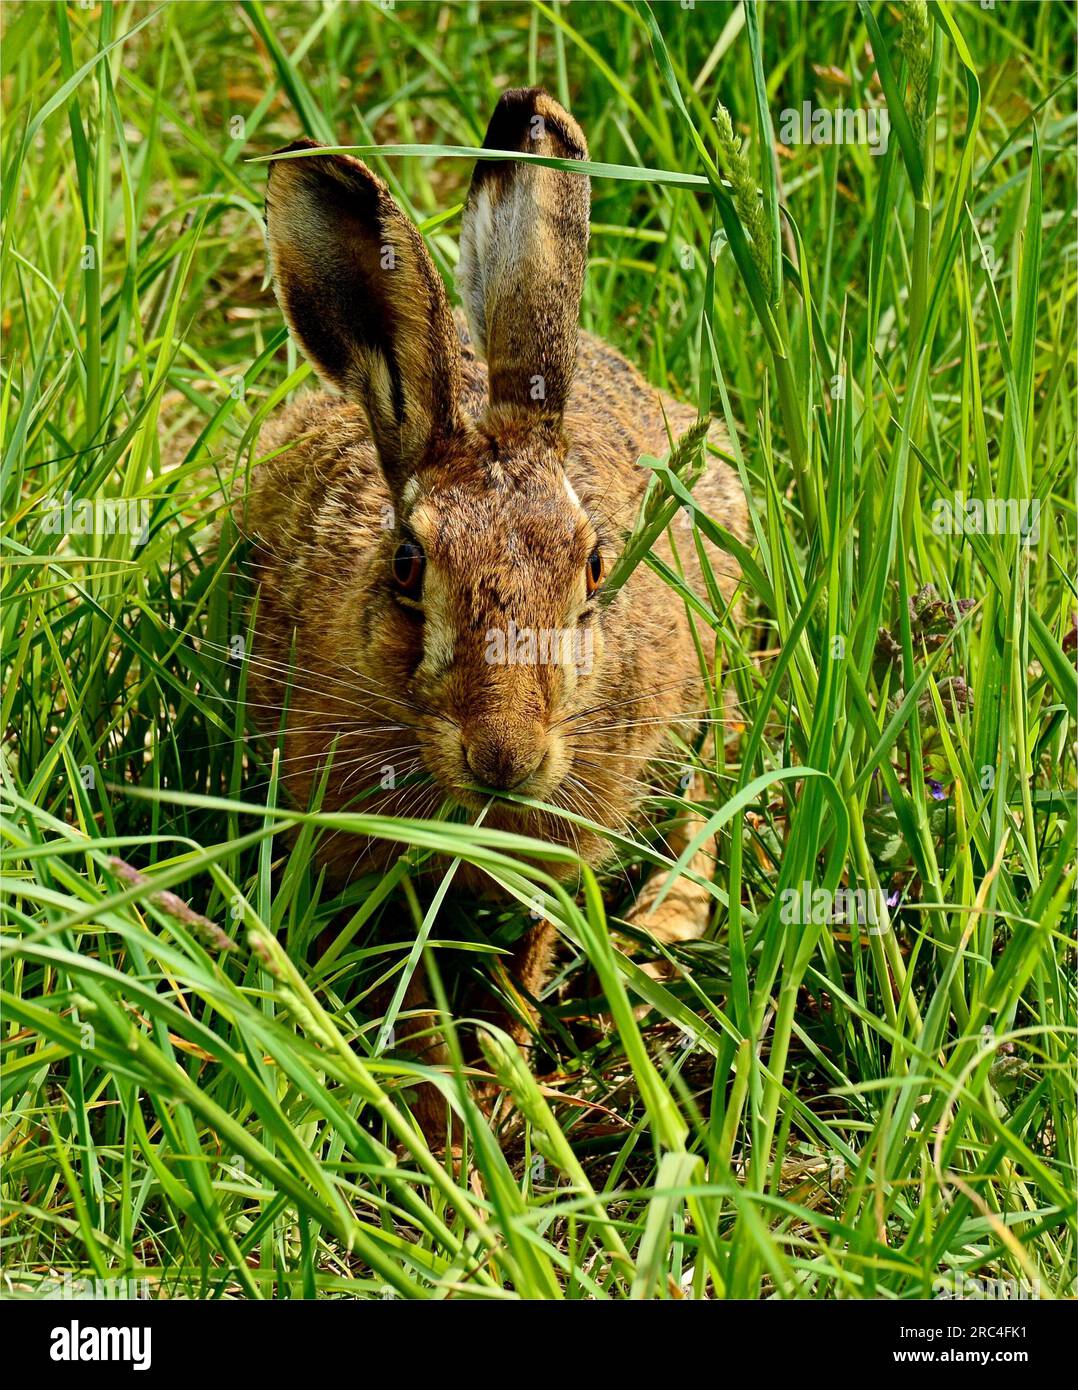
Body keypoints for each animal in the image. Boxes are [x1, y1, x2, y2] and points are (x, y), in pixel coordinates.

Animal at [239, 88, 749, 1112]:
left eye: (594, 568)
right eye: (406, 565)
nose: (507, 757)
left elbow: (537, 944)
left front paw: (508, 1070)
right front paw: (449, 1102)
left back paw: (664, 927)